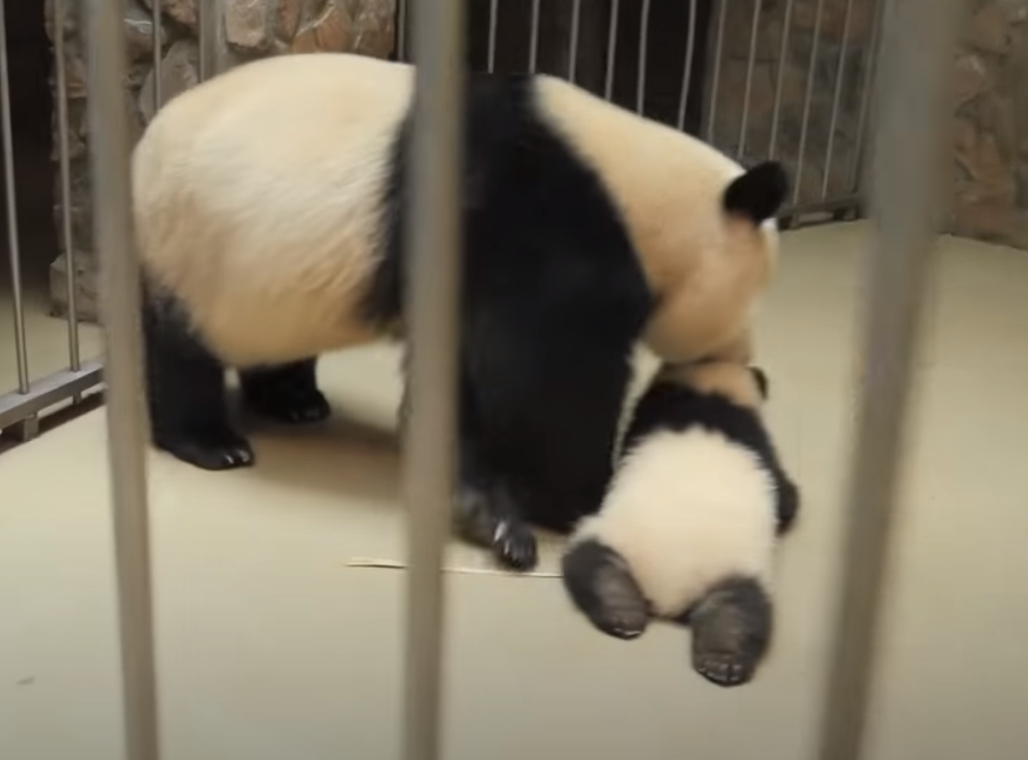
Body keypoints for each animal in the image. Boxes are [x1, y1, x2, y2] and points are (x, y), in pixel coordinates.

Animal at [131, 52, 789, 572]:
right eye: (749, 298)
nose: (744, 359)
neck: (636, 191)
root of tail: (142, 144)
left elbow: (472, 377)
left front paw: (483, 501)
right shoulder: (537, 224)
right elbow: (549, 379)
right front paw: (577, 494)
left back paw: (294, 401)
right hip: (189, 242)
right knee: (180, 351)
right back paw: (211, 442)